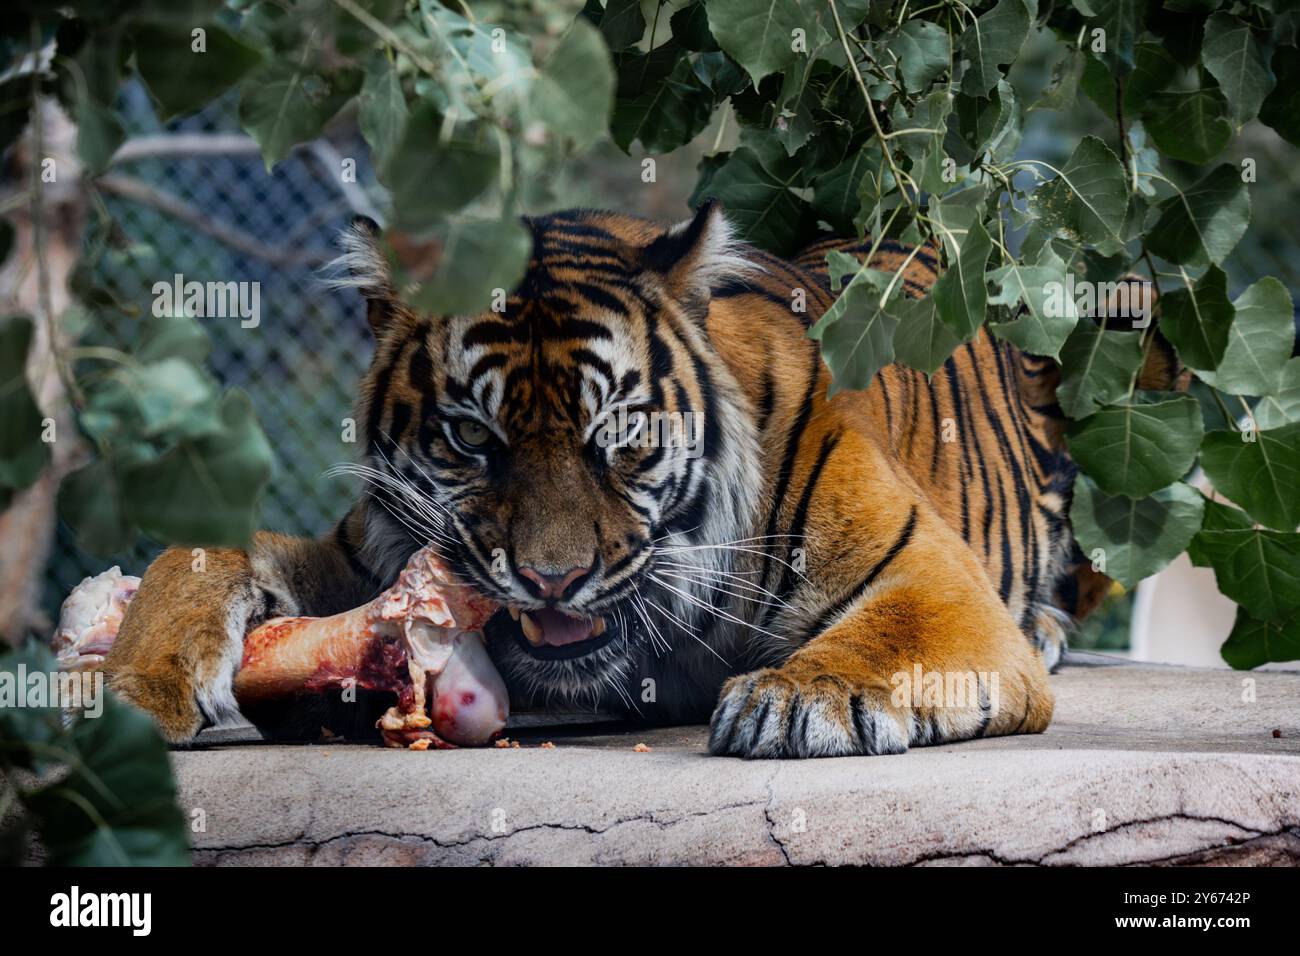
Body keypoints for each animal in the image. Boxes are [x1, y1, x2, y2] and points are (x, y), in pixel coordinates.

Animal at [105, 200, 1108, 758]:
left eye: (618, 433)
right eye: (471, 437)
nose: (553, 580)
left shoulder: (928, 576)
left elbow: (884, 630)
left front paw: (801, 697)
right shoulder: (368, 554)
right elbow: (202, 552)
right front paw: (128, 684)